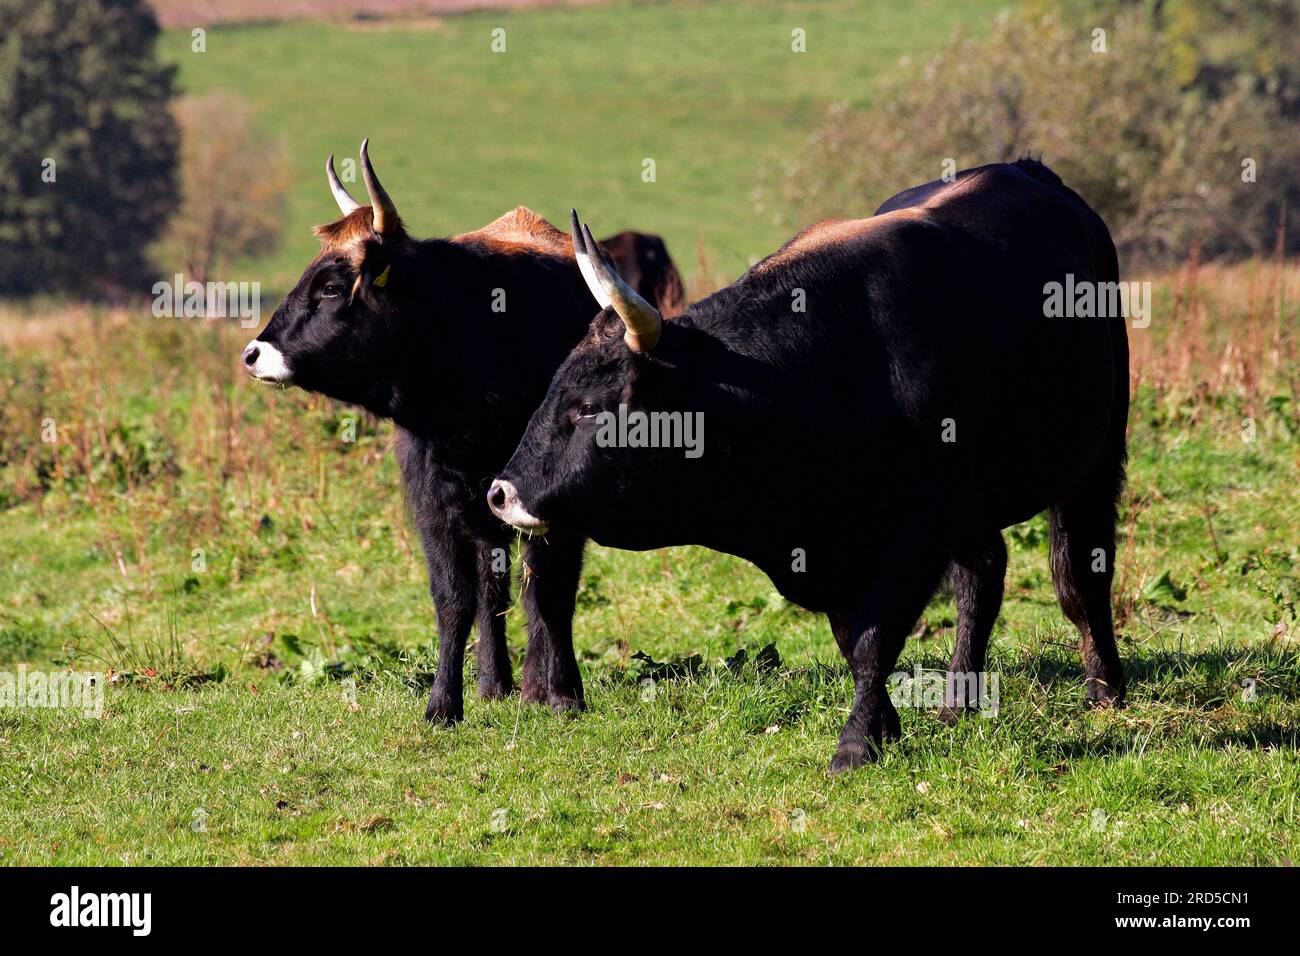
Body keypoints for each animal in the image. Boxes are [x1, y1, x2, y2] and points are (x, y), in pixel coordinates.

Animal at [241, 140, 683, 724]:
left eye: (333, 287)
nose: (253, 354)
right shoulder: (436, 505)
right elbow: (454, 600)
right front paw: (443, 704)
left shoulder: (552, 498)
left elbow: (551, 594)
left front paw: (563, 692)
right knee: (493, 589)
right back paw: (494, 683)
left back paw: (531, 684)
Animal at [488, 160, 1129, 772]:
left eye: (587, 407)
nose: (500, 493)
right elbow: (854, 641)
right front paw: (885, 726)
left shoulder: (916, 534)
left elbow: (874, 641)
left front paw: (857, 745)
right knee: (985, 571)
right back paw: (958, 702)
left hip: (1095, 460)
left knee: (1080, 574)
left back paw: (1104, 687)